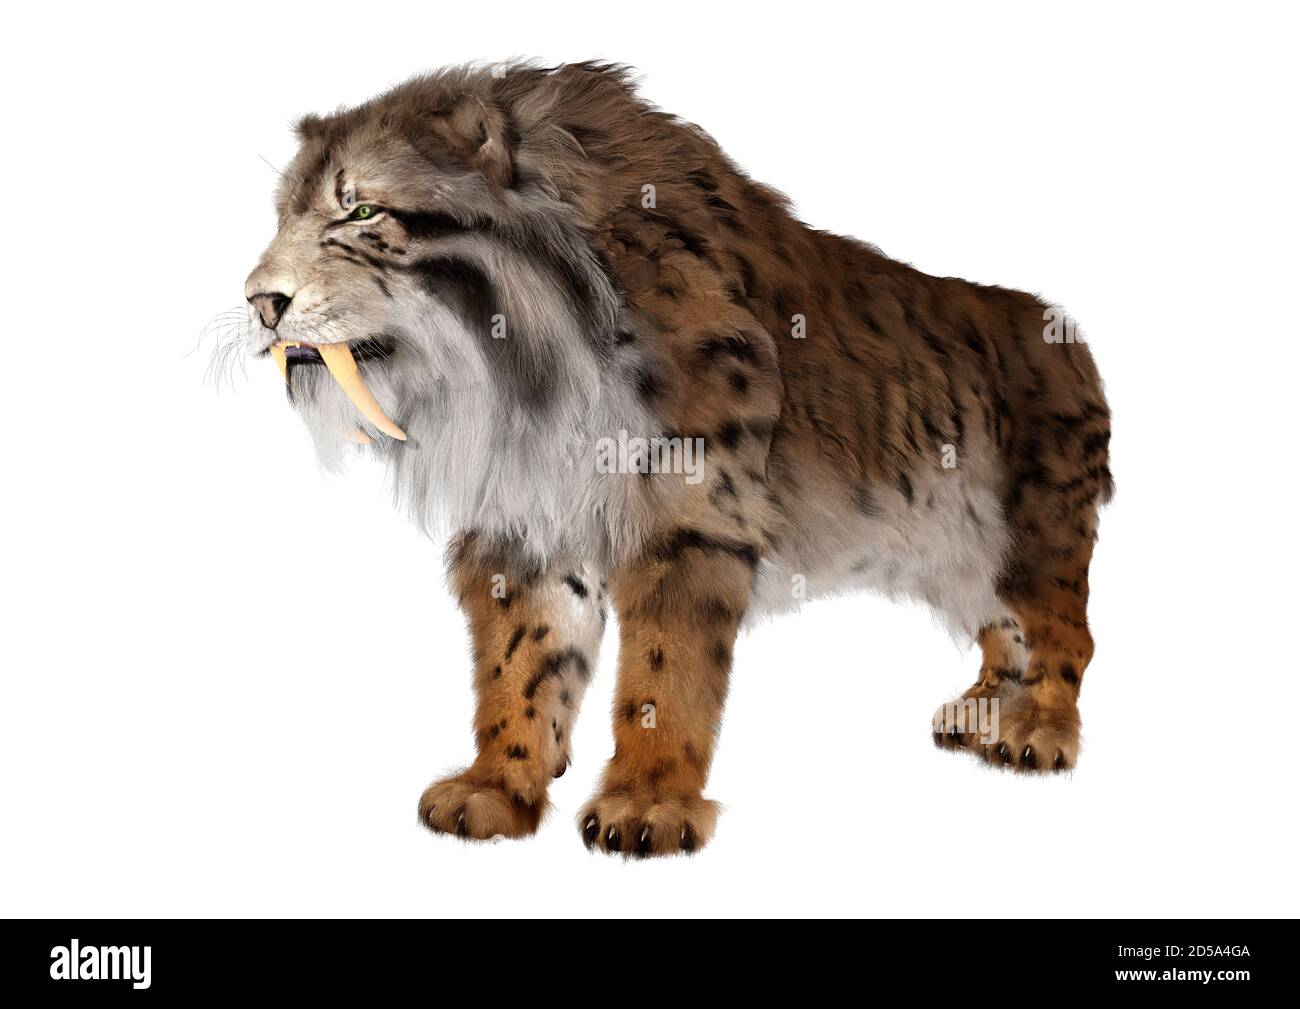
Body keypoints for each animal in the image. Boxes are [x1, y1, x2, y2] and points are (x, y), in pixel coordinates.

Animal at [241, 61, 1112, 857]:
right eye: (283, 216)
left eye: (361, 211)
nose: (258, 301)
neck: (514, 369)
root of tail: (1063, 330)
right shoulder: (528, 526)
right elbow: (522, 669)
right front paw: (500, 786)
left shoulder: (690, 522)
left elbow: (665, 679)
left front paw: (646, 806)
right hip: (954, 551)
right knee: (1003, 631)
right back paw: (986, 709)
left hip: (1031, 538)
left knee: (1065, 635)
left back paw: (1036, 730)